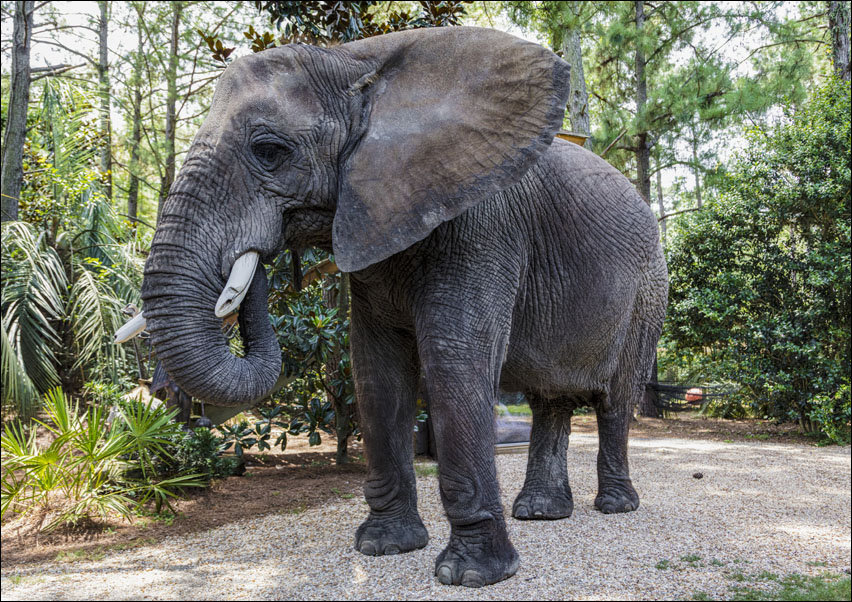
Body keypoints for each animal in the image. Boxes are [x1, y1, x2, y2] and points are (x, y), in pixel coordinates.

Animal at [136, 26, 668, 587]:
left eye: (269, 151)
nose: (255, 259)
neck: (352, 61)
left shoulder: (482, 222)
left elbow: (453, 360)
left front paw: (470, 575)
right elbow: (376, 369)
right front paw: (385, 548)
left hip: (648, 293)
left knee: (615, 399)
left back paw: (615, 507)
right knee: (551, 400)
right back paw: (540, 514)